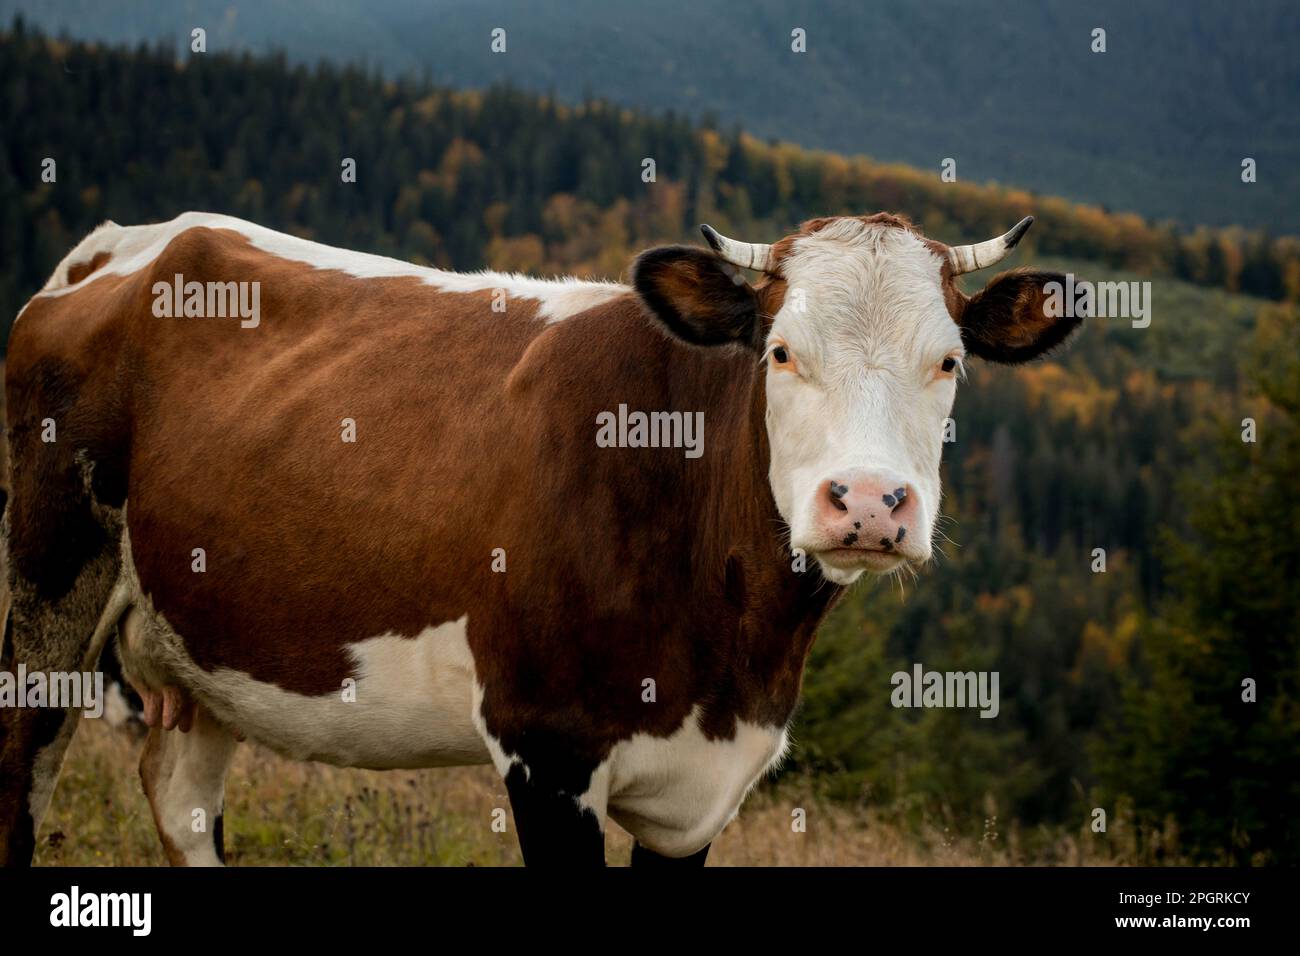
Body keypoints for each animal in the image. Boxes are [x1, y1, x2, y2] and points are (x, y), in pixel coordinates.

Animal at [0, 210, 1079, 867]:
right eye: (780, 351)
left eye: (949, 361)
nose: (868, 503)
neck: (734, 653)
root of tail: (129, 241)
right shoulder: (546, 746)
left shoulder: (700, 791)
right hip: (50, 581)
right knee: (26, 762)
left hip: (203, 641)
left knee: (179, 794)